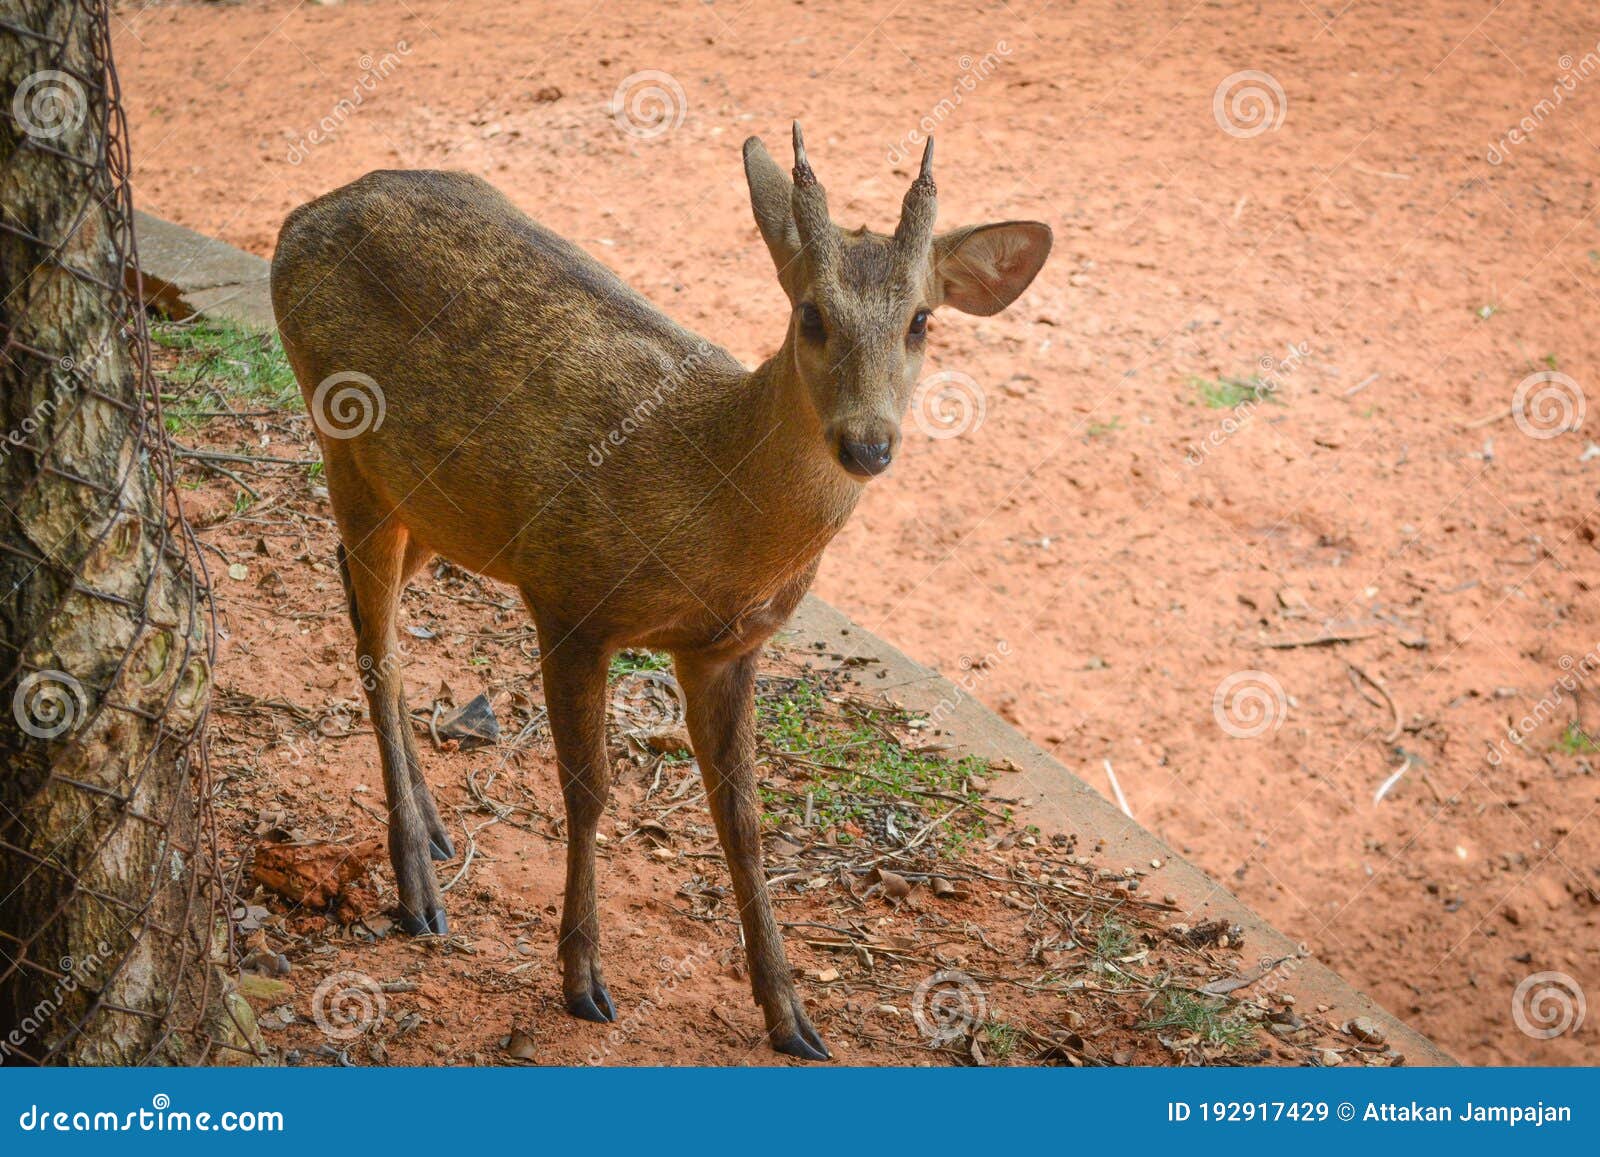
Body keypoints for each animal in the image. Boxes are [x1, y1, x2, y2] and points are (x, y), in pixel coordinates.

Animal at [269, 125, 1051, 1060]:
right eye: (811, 315)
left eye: (921, 320)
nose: (868, 444)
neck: (709, 501)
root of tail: (297, 217)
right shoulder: (568, 594)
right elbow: (589, 787)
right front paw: (582, 979)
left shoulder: (730, 646)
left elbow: (744, 820)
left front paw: (791, 1016)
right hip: (346, 444)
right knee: (376, 645)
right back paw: (418, 886)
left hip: (428, 503)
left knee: (351, 588)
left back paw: (431, 826)